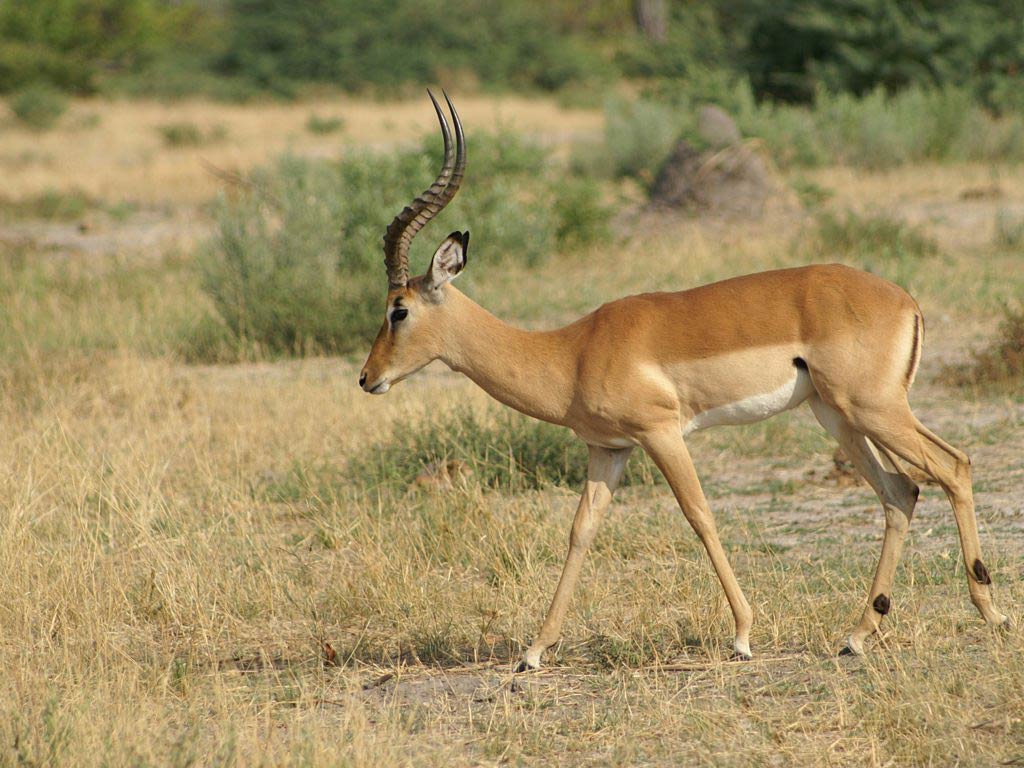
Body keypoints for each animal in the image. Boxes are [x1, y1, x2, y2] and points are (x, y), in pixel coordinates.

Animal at [359, 93, 1008, 671]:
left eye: (399, 309)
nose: (367, 378)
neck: (572, 351)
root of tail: (905, 299)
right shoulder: (608, 450)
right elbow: (580, 532)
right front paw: (534, 651)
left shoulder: (662, 433)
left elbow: (700, 515)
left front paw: (742, 636)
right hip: (838, 416)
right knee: (900, 491)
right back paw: (856, 636)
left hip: (874, 408)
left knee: (952, 466)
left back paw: (990, 613)